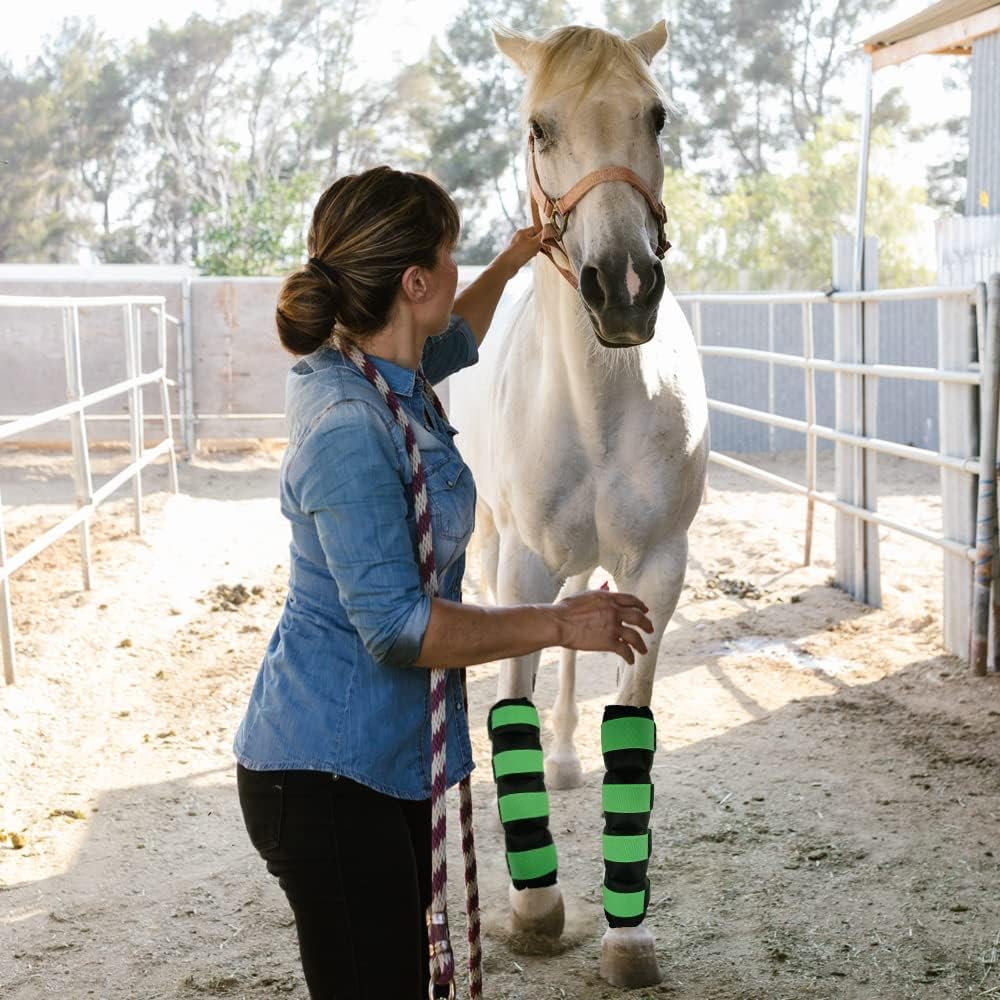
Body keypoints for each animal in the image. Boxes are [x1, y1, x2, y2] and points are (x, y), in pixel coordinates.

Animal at [449, 21, 709, 988]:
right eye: (540, 126)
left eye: (656, 114)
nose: (624, 284)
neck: (599, 405)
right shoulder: (520, 563)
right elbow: (511, 693)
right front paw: (535, 905)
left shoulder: (658, 569)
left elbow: (629, 722)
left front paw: (627, 938)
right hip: (491, 541)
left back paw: (563, 758)